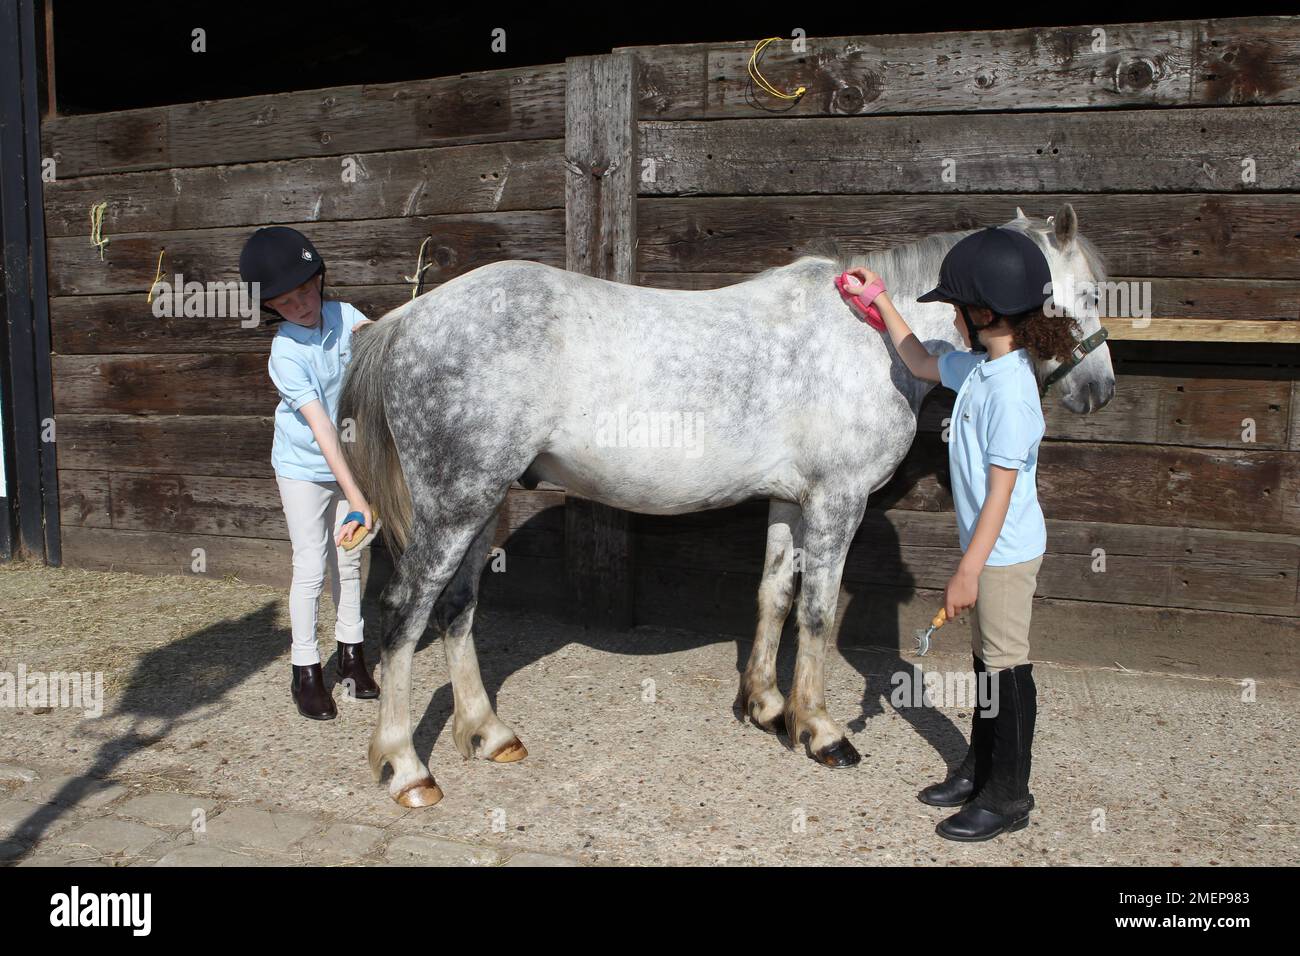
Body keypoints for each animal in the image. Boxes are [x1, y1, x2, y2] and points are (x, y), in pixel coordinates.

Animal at [339, 203, 1115, 807]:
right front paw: (821, 731)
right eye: (1087, 292)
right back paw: (406, 768)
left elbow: (773, 595)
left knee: (458, 607)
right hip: (455, 503)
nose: (1100, 389)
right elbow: (817, 612)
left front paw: (766, 707)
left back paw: (489, 733)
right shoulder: (838, 501)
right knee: (404, 614)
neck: (866, 341)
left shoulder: (788, 502)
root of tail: (406, 319)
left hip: (482, 502)